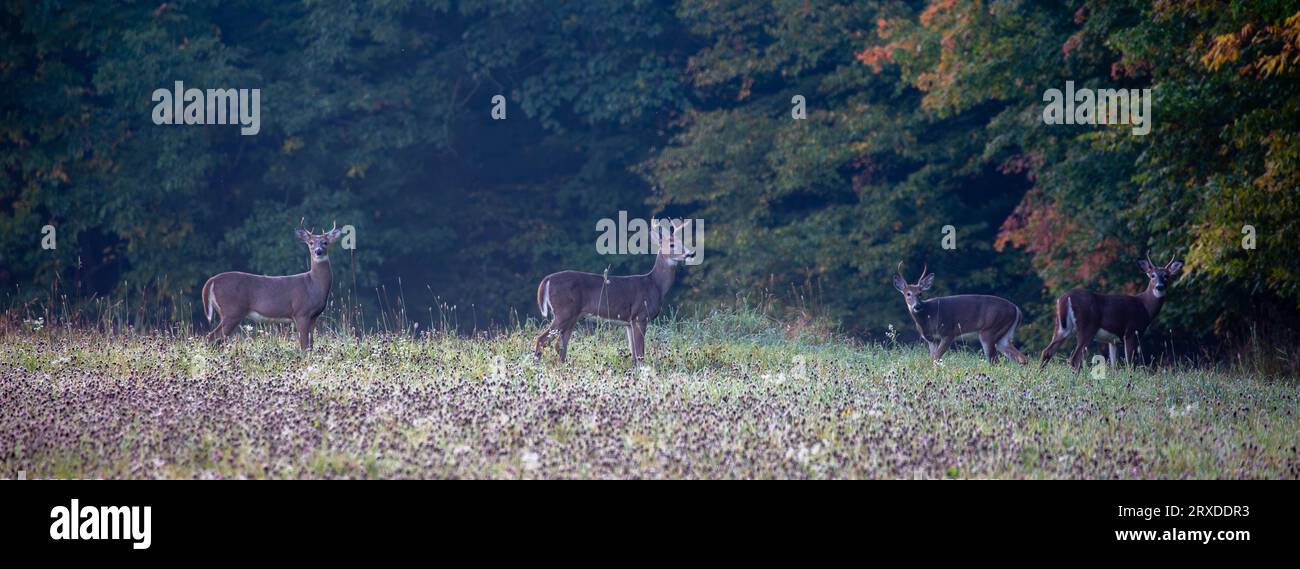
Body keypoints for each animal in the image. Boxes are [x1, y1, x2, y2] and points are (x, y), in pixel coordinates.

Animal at [201, 220, 342, 350]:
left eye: (325, 242)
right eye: (311, 243)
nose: (318, 251)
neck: (313, 284)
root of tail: (212, 280)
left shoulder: (314, 316)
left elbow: (310, 345)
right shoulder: (301, 312)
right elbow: (304, 346)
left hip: (227, 312)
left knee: (218, 339)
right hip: (232, 310)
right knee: (212, 337)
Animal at [534, 219, 695, 363]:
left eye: (683, 242)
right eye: (672, 244)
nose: (691, 253)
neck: (655, 285)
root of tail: (547, 279)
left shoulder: (630, 322)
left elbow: (634, 355)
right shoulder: (640, 315)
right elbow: (640, 355)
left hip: (573, 316)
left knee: (560, 345)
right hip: (563, 311)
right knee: (542, 339)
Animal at [892, 263, 1028, 366]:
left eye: (920, 293)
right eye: (908, 294)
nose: (917, 306)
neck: (927, 316)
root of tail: (1017, 309)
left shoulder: (949, 332)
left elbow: (936, 359)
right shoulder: (931, 340)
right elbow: (932, 359)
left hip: (989, 330)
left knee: (995, 361)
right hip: (1003, 335)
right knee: (1022, 358)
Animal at [1039, 253, 1183, 372]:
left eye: (1166, 276)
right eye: (1152, 275)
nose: (1159, 286)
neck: (1145, 306)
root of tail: (1065, 298)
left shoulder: (1112, 341)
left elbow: (1114, 365)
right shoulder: (1131, 331)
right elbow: (1130, 363)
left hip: (1061, 327)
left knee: (1047, 351)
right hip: (1087, 327)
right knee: (1074, 359)